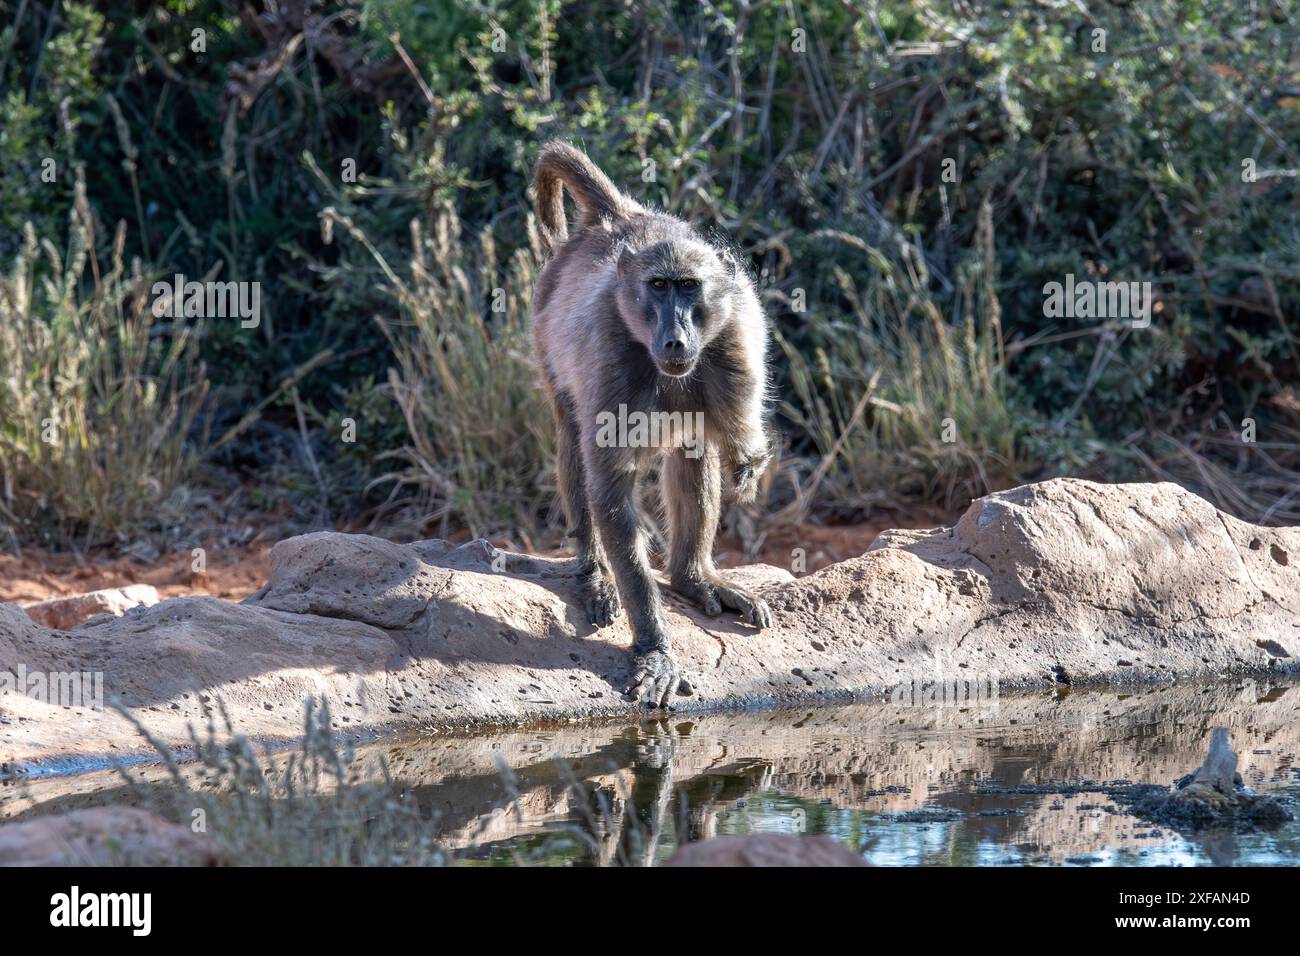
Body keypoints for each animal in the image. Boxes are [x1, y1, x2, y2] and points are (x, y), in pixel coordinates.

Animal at [529, 140, 773, 709]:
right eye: (657, 287)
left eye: (689, 287)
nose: (675, 341)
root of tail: (622, 217)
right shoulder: (608, 358)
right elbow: (612, 490)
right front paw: (656, 650)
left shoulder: (735, 334)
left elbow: (727, 443)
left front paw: (747, 465)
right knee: (574, 442)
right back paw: (595, 572)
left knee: (692, 448)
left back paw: (693, 579)